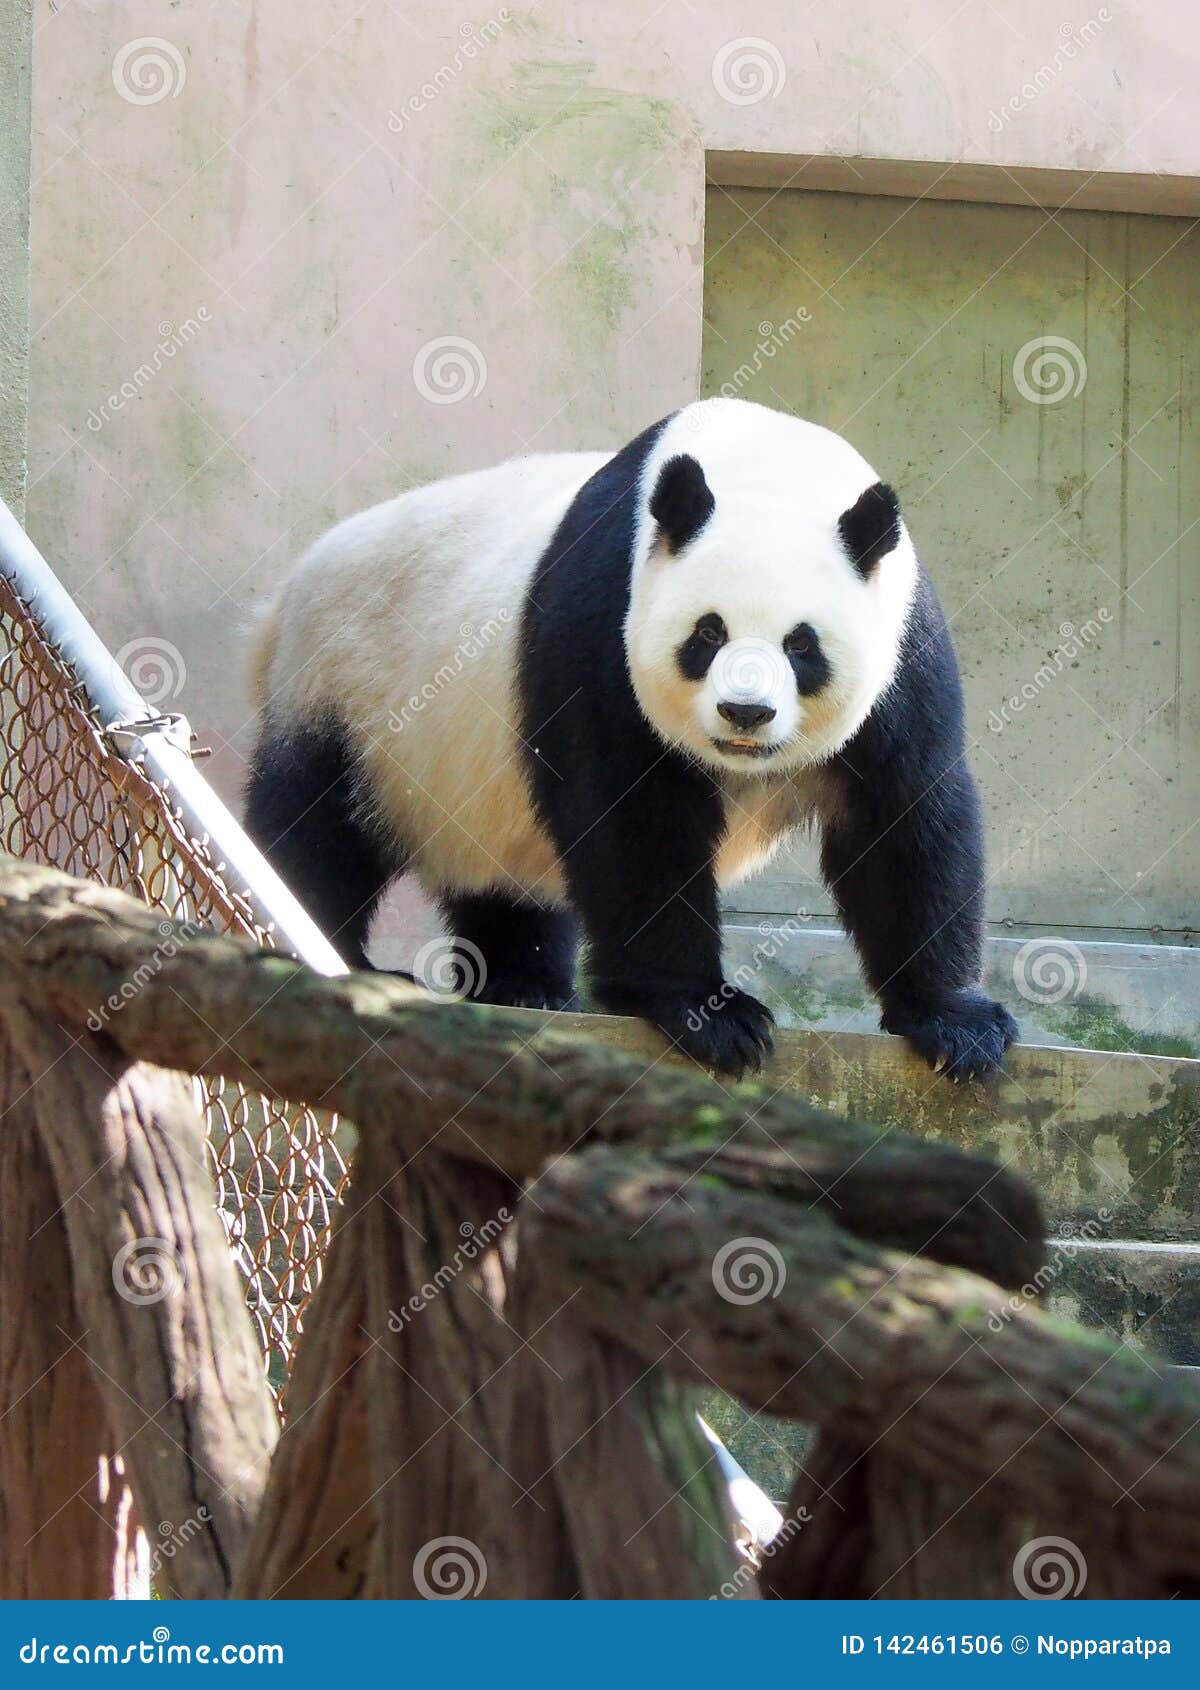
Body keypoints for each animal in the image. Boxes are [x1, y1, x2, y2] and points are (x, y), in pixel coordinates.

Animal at [245, 397, 1018, 1081]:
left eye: (802, 645)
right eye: (708, 633)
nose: (744, 713)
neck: (766, 466)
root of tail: (282, 598)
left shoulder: (904, 649)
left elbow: (904, 819)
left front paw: (957, 1024)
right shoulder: (603, 617)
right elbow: (630, 817)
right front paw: (711, 1016)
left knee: (502, 877)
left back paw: (529, 985)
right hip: (343, 689)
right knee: (318, 825)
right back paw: (328, 953)